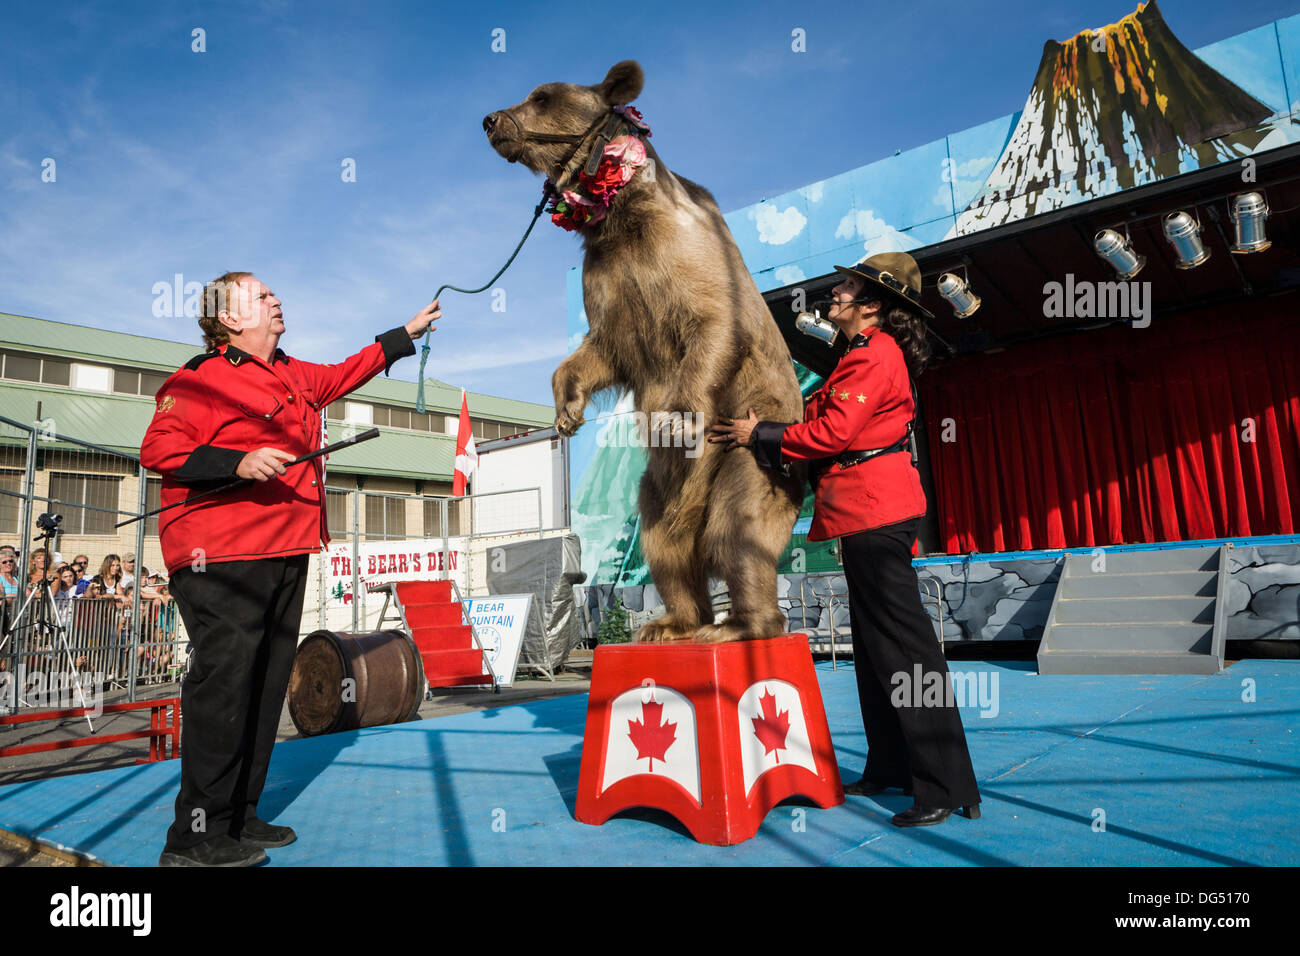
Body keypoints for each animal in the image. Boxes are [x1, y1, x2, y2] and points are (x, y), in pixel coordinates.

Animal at [484, 60, 804, 643]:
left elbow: (714, 326)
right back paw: (670, 623)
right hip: (656, 489)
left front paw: (676, 419)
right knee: (667, 548)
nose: (491, 120)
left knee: (737, 532)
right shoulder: (613, 288)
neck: (621, 216)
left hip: (753, 453)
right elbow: (597, 351)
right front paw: (567, 412)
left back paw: (740, 625)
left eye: (542, 96)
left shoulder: (691, 258)